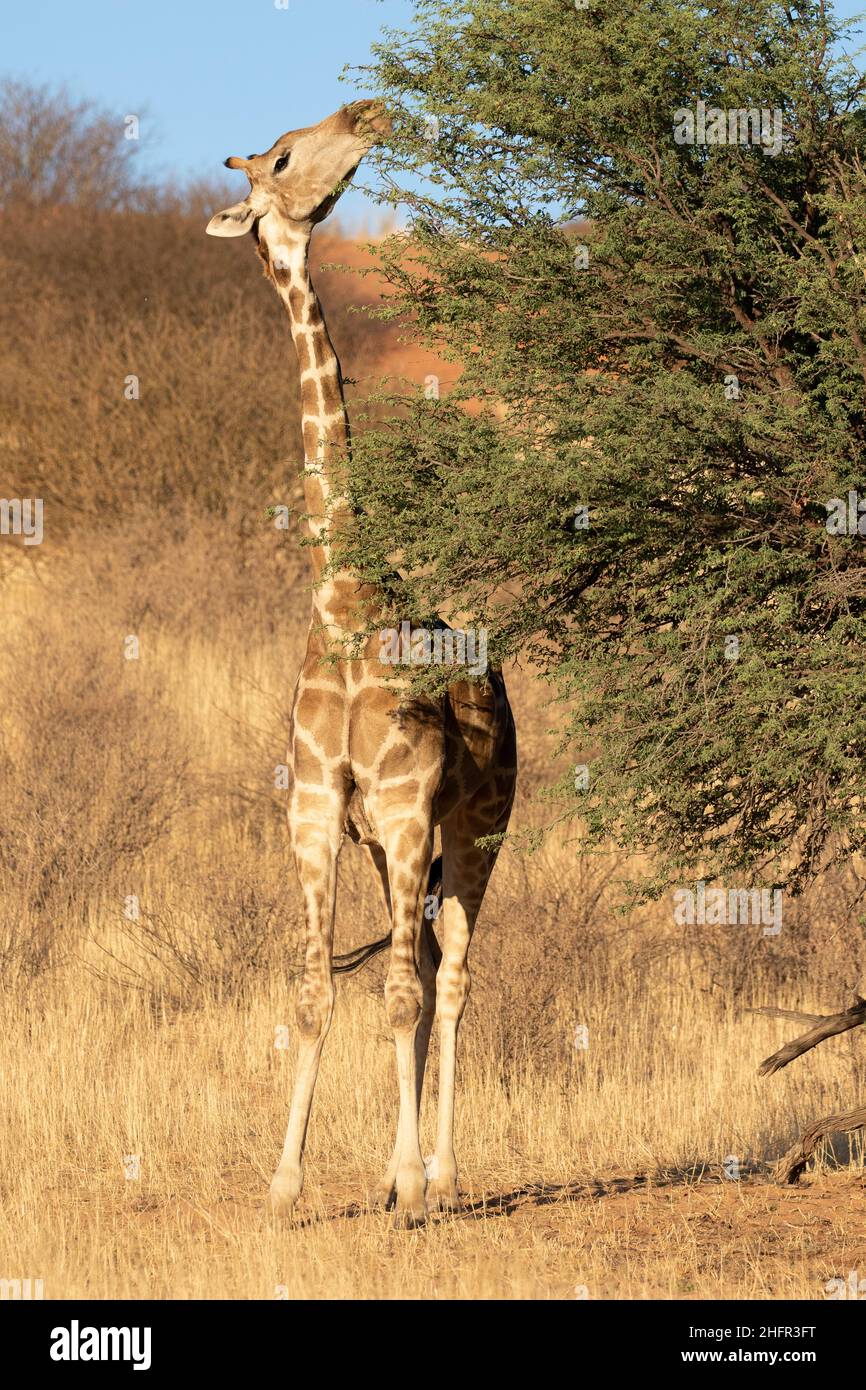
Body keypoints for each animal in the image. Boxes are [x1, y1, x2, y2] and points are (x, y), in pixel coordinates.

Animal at [206, 100, 517, 1227]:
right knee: (418, 967)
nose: (369, 110)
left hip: (477, 831)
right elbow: (312, 991)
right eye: (284, 157)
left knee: (452, 978)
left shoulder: (408, 810)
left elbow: (401, 993)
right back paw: (395, 1172)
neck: (341, 602)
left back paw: (441, 1175)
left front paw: (418, 1187)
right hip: (397, 849)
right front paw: (285, 1189)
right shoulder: (314, 815)